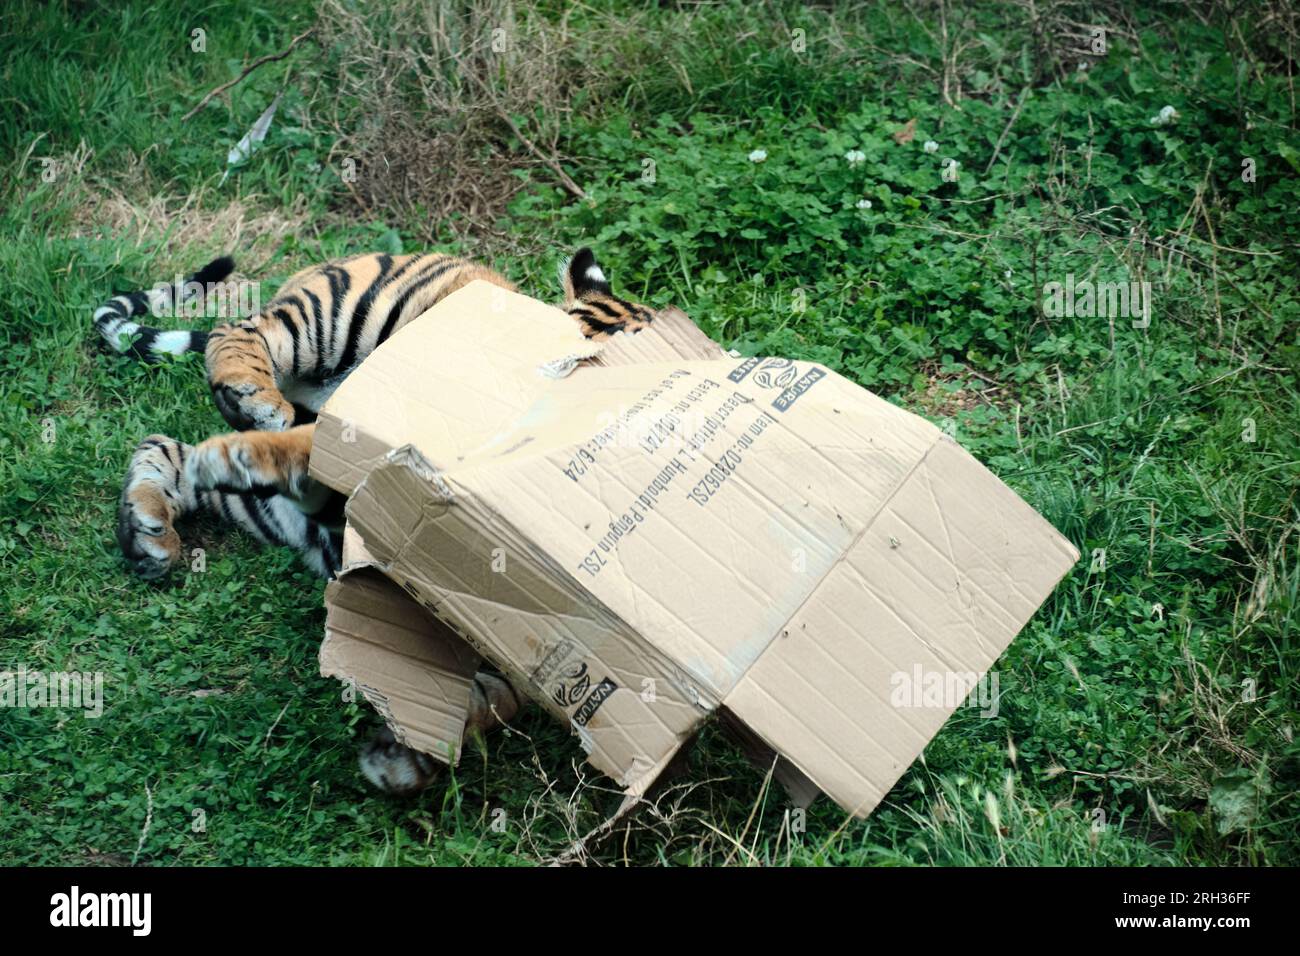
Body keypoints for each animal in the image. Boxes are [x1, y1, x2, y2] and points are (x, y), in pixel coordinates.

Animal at [95, 247, 658, 794]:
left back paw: (147, 530)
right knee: (237, 332)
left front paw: (407, 755)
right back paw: (251, 402)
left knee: (166, 447)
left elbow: (497, 695)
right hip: (336, 320)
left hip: (274, 508)